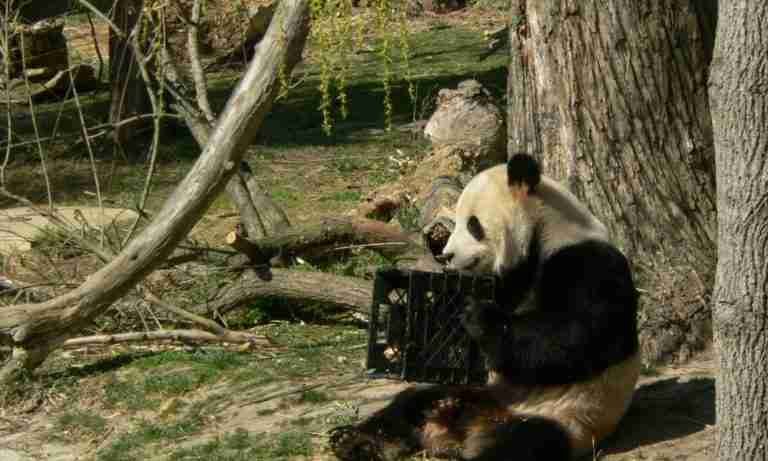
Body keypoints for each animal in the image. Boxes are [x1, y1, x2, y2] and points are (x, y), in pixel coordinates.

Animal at [329, 153, 640, 461]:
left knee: (521, 445)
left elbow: (578, 337)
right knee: (408, 404)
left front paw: (480, 316)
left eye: (472, 224)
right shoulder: (502, 281)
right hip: (471, 390)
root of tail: (462, 432)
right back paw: (354, 440)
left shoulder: (587, 261)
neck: (544, 231)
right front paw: (404, 323)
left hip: (566, 420)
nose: (446, 255)